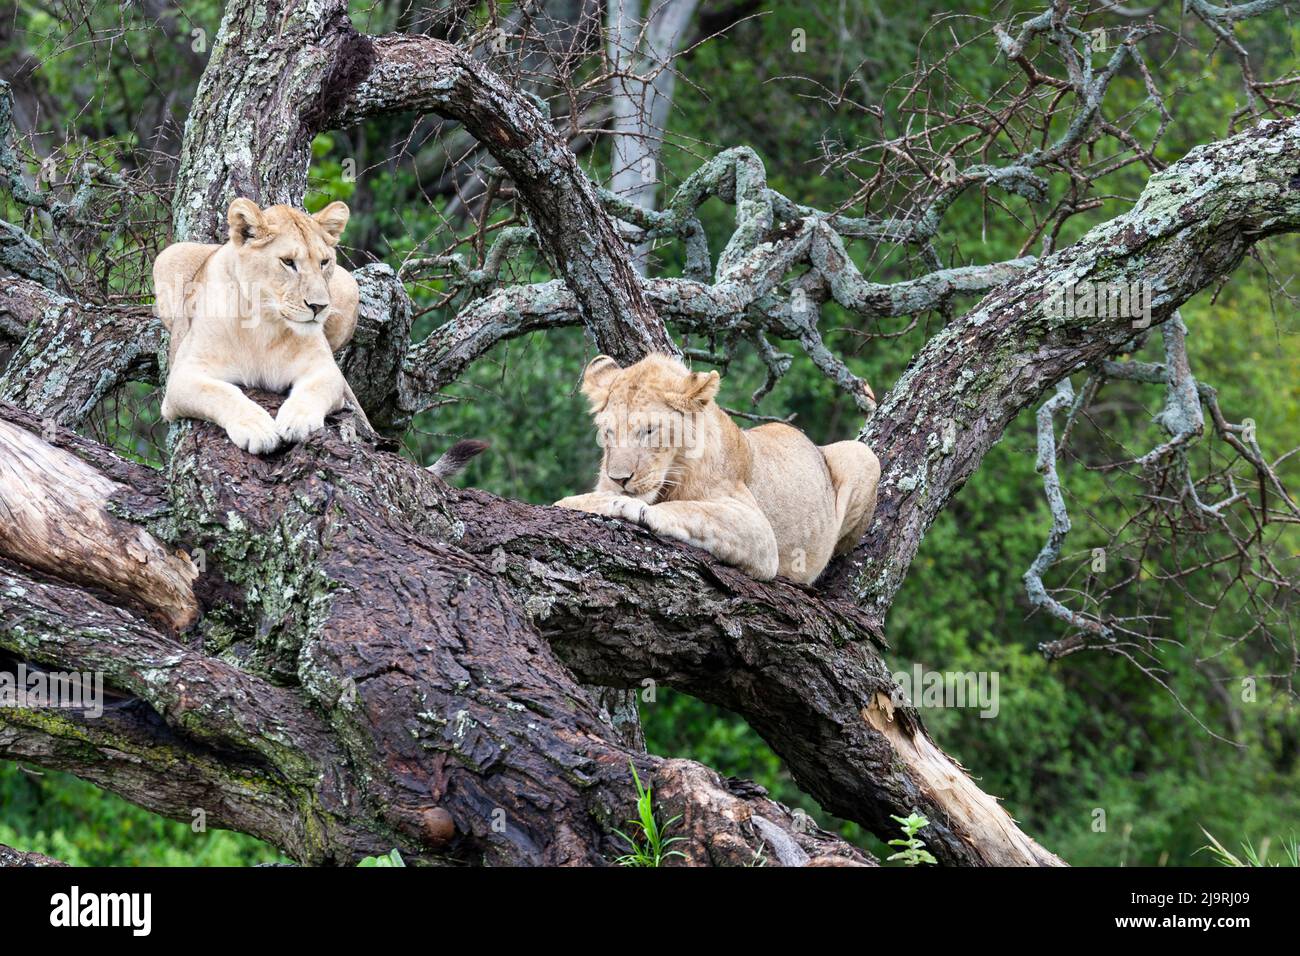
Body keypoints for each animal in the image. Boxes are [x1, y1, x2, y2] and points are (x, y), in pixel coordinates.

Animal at [554, 353, 881, 584]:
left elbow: (687, 509)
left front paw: (606, 503)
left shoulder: (758, 533)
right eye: (608, 432)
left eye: (648, 430)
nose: (619, 479)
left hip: (864, 455)